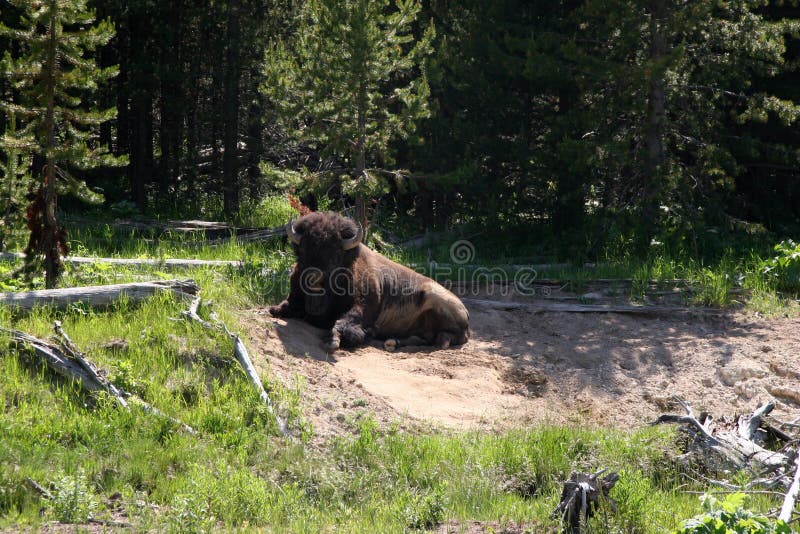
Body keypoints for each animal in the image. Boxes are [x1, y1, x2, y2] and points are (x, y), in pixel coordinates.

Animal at [269, 212, 470, 351]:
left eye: (334, 257)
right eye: (302, 253)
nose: (313, 280)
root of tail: (465, 310)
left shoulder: (363, 306)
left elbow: (345, 321)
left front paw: (334, 340)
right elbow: (279, 309)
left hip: (434, 298)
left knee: (447, 338)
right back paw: (392, 342)